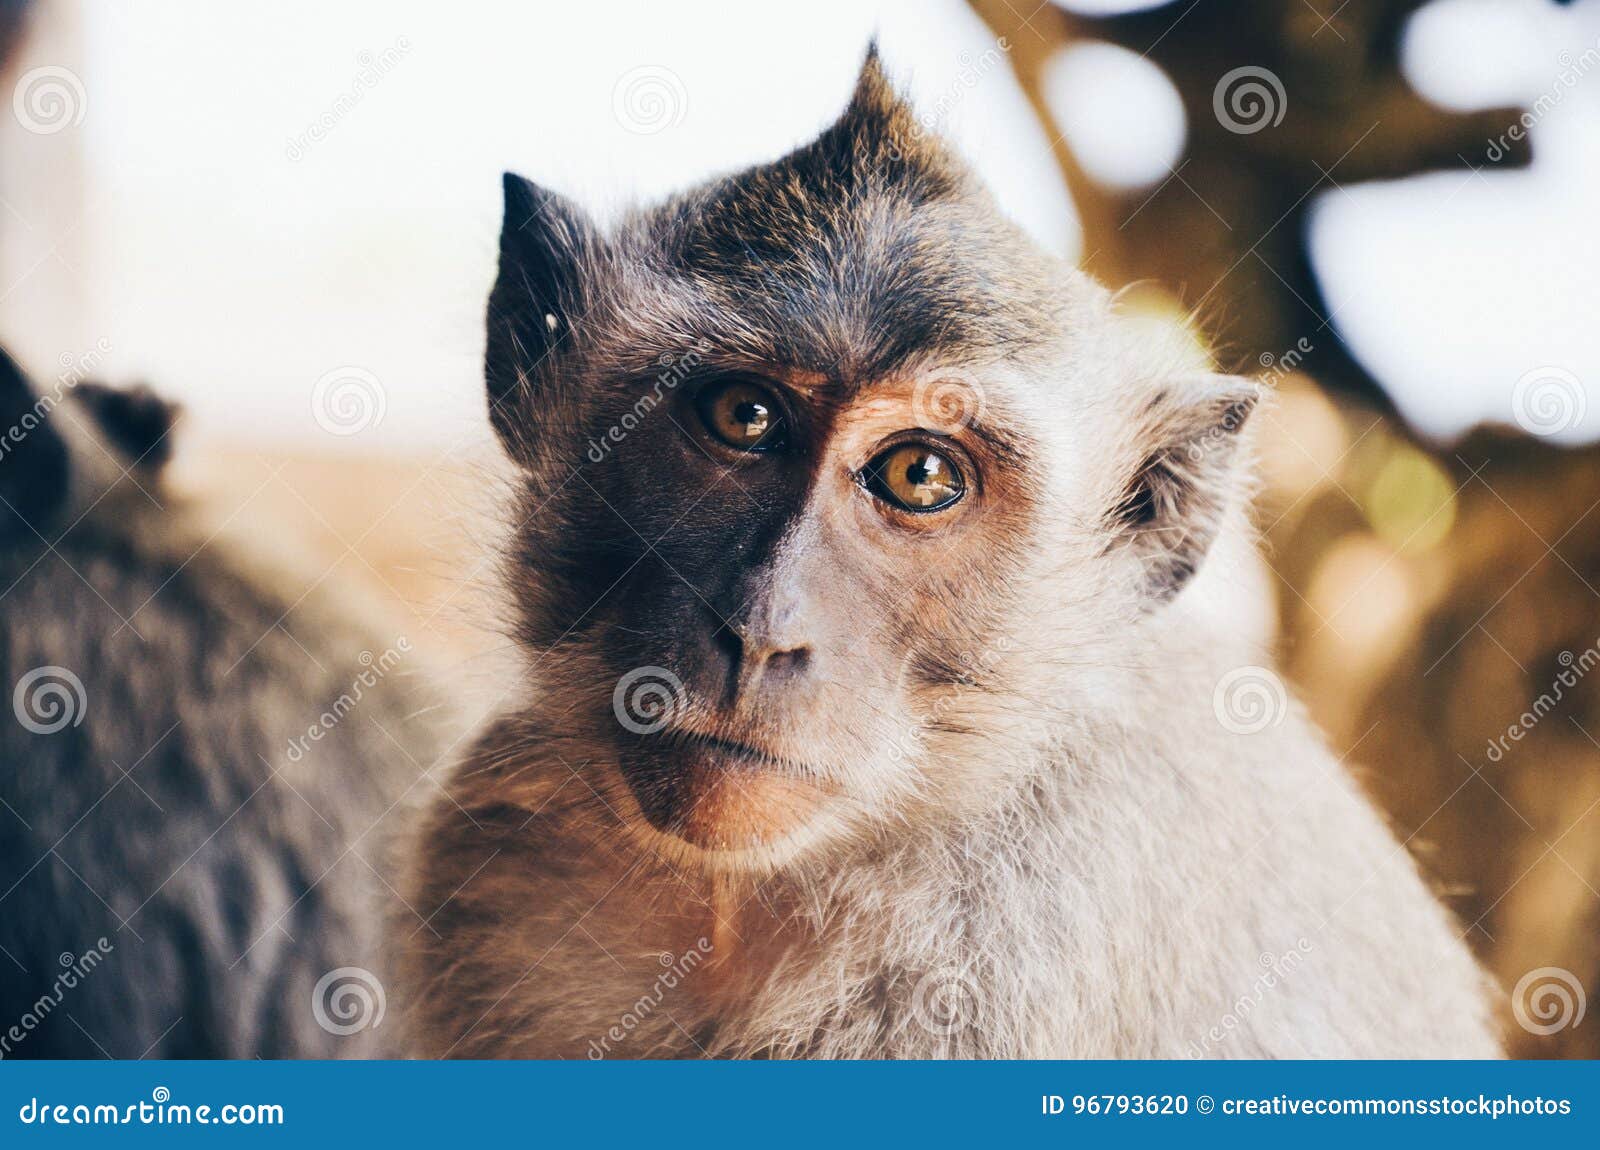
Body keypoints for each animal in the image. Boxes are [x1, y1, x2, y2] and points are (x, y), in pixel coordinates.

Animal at [397, 51, 1502, 1059]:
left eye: (920, 475)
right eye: (744, 416)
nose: (762, 632)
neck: (742, 899)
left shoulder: (1006, 951)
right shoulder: (495, 864)